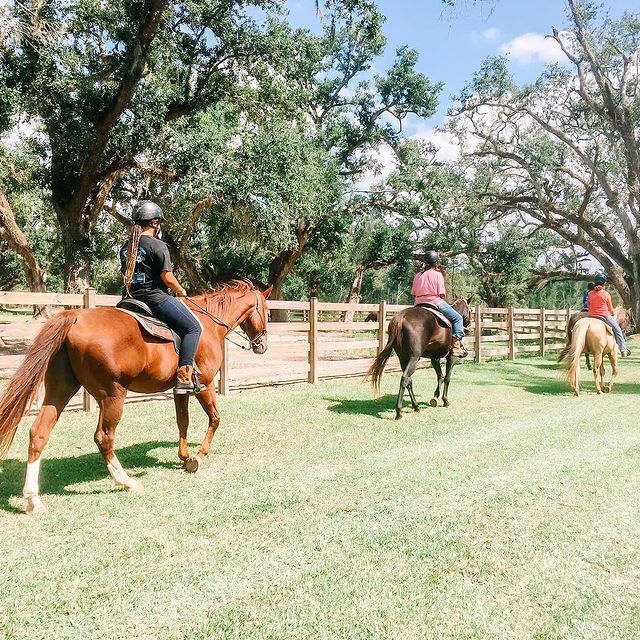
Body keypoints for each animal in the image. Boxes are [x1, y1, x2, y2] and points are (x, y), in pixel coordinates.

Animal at [0, 278, 271, 513]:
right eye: (267, 313)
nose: (262, 346)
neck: (209, 323)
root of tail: (76, 316)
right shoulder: (204, 384)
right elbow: (214, 418)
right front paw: (199, 456)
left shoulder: (179, 388)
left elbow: (182, 421)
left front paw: (184, 456)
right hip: (112, 396)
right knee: (104, 438)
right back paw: (127, 482)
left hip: (61, 390)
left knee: (39, 432)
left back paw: (32, 499)